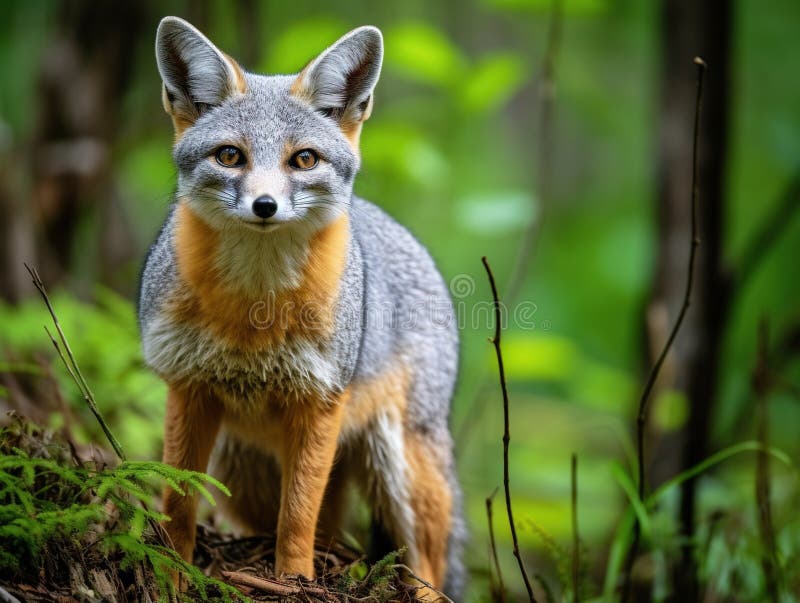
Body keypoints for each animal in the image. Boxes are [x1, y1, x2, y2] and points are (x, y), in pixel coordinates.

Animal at [137, 16, 465, 597]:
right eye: (230, 156)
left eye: (303, 159)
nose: (265, 205)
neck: (254, 309)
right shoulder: (189, 388)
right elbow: (178, 499)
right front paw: (172, 573)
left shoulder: (320, 404)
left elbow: (298, 516)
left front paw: (292, 580)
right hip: (243, 469)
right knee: (329, 527)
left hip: (402, 468)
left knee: (423, 564)